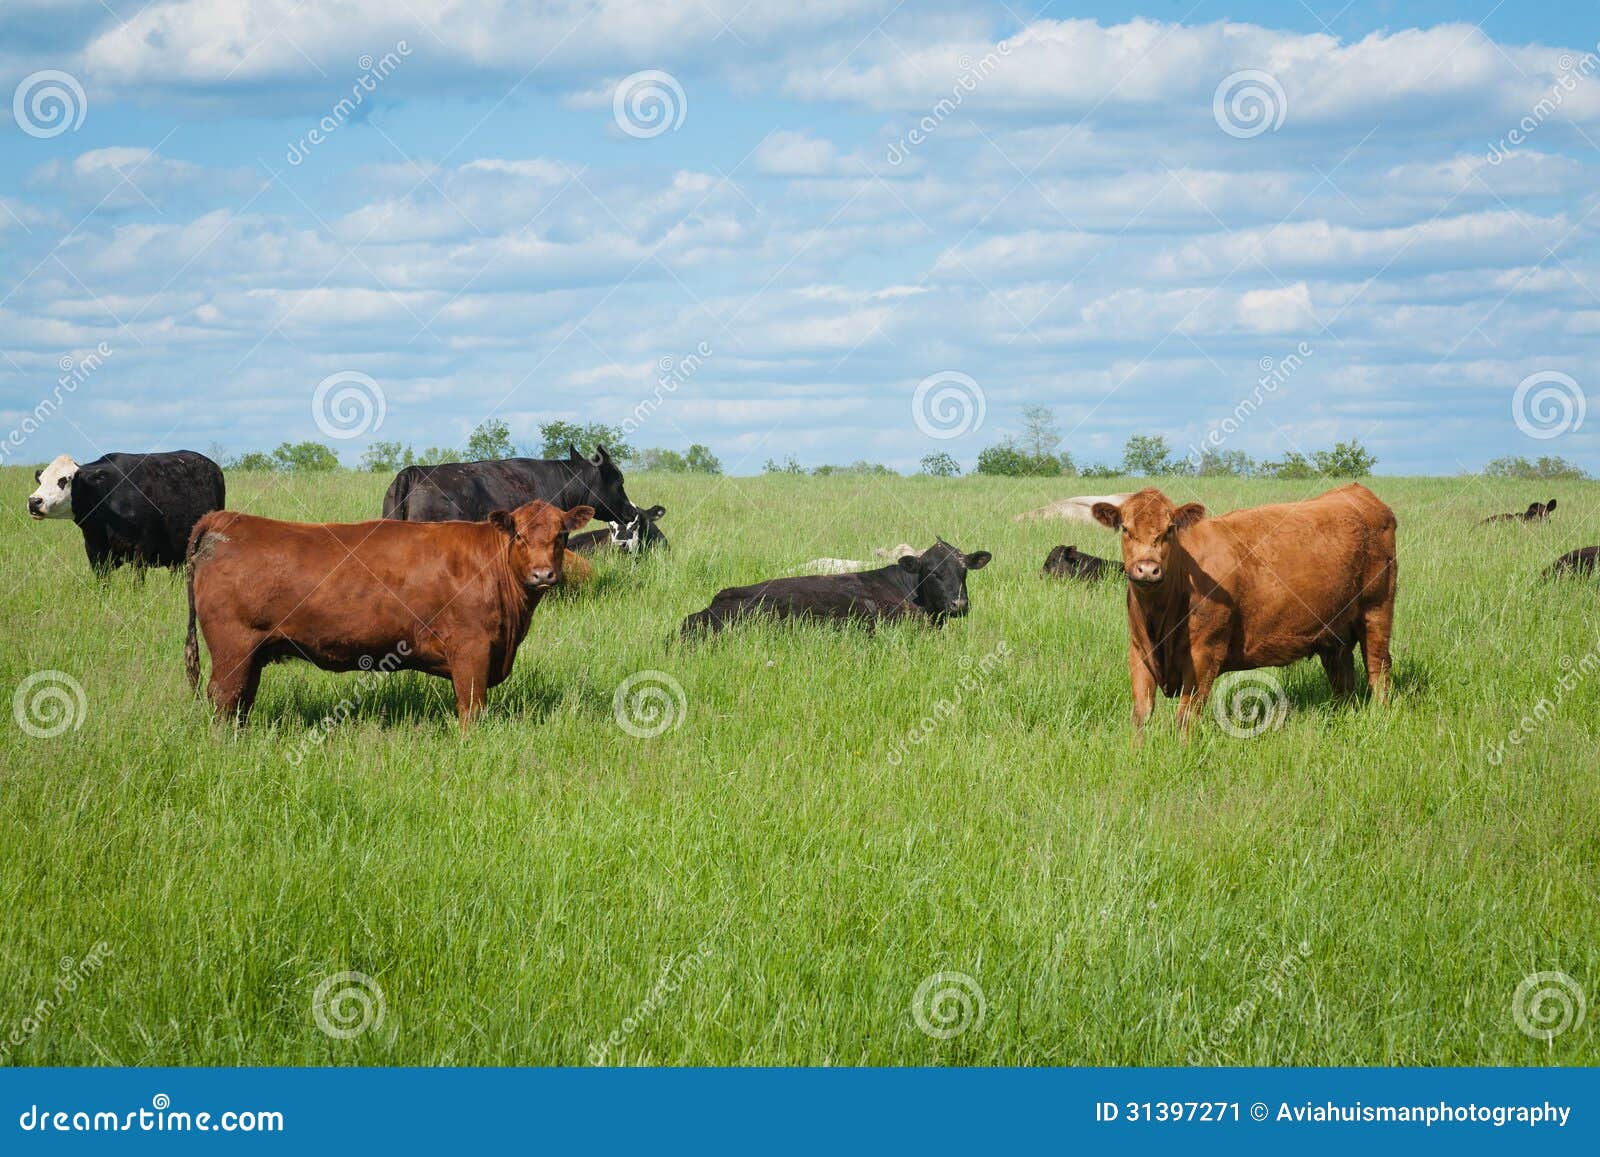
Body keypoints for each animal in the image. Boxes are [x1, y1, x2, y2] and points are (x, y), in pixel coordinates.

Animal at [184, 500, 593, 727]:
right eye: (519, 536)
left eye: (561, 536)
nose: (543, 574)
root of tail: (225, 519)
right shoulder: (471, 649)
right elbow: (471, 708)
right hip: (233, 647)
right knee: (224, 698)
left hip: (252, 653)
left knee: (242, 701)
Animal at [1091, 484, 1397, 734]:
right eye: (1126, 529)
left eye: (1169, 529)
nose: (1147, 569)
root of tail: (1357, 491)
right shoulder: (1138, 651)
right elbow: (1141, 714)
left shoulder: (1205, 654)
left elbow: (1187, 717)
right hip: (1334, 632)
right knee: (1343, 677)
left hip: (1377, 609)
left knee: (1378, 668)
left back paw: (1379, 717)